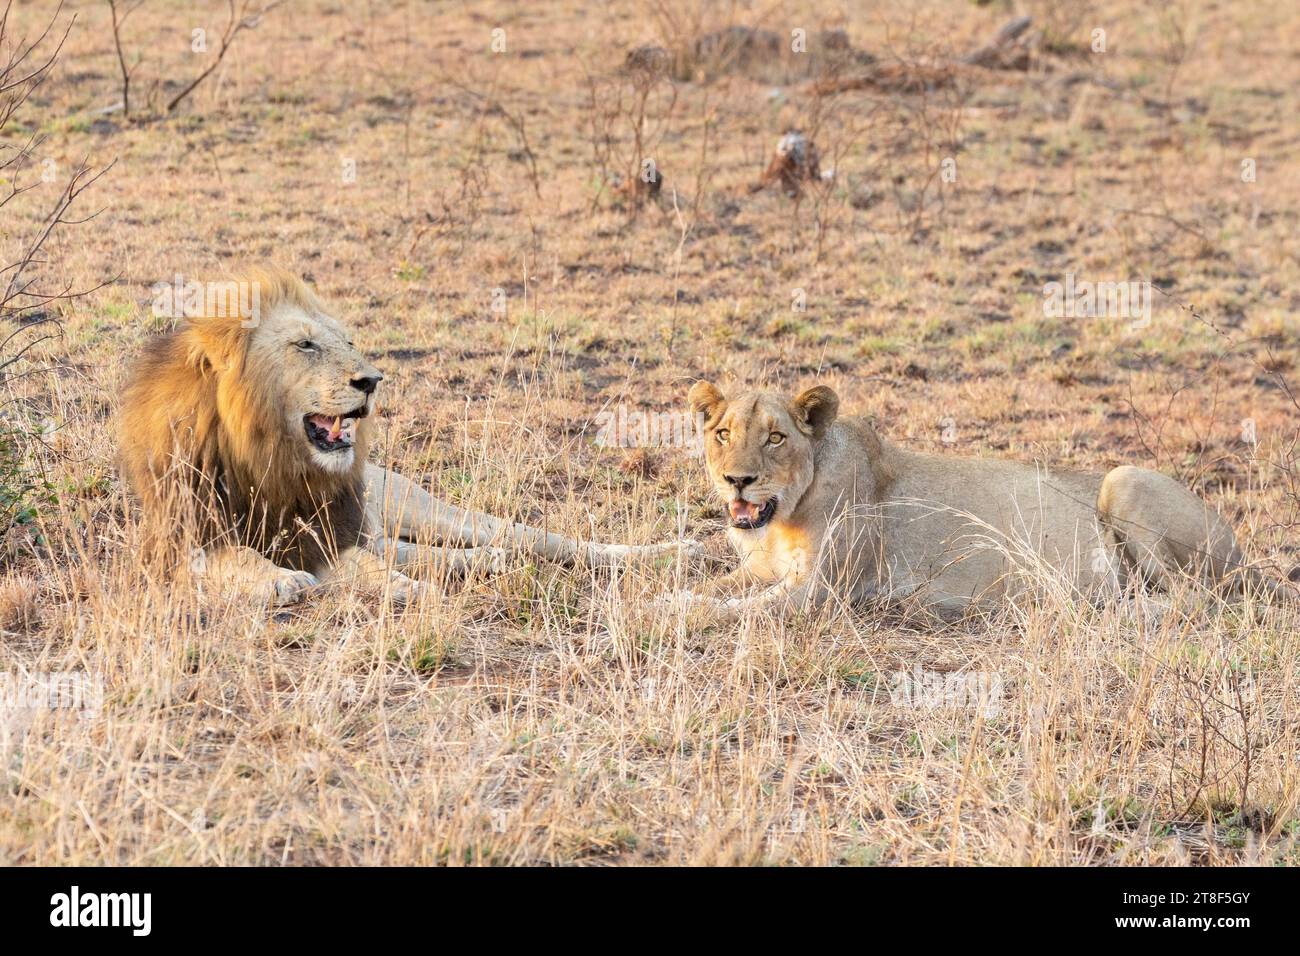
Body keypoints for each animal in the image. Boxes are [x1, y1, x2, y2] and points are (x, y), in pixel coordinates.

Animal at [119, 268, 695, 605]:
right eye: (305, 345)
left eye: (349, 342)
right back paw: (482, 564)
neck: (270, 455)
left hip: (418, 507)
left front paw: (397, 589)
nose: (371, 380)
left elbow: (364, 567)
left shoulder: (330, 534)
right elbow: (232, 556)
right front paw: (279, 578)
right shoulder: (175, 538)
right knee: (423, 551)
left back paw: (675, 550)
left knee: (533, 537)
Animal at [671, 381, 1291, 617]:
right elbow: (702, 573)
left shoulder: (823, 591)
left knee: (1195, 598)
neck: (782, 518)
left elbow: (727, 608)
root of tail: (1247, 557)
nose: (738, 480)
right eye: (723, 433)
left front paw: (670, 608)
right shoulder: (759, 566)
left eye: (776, 437)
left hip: (1125, 478)